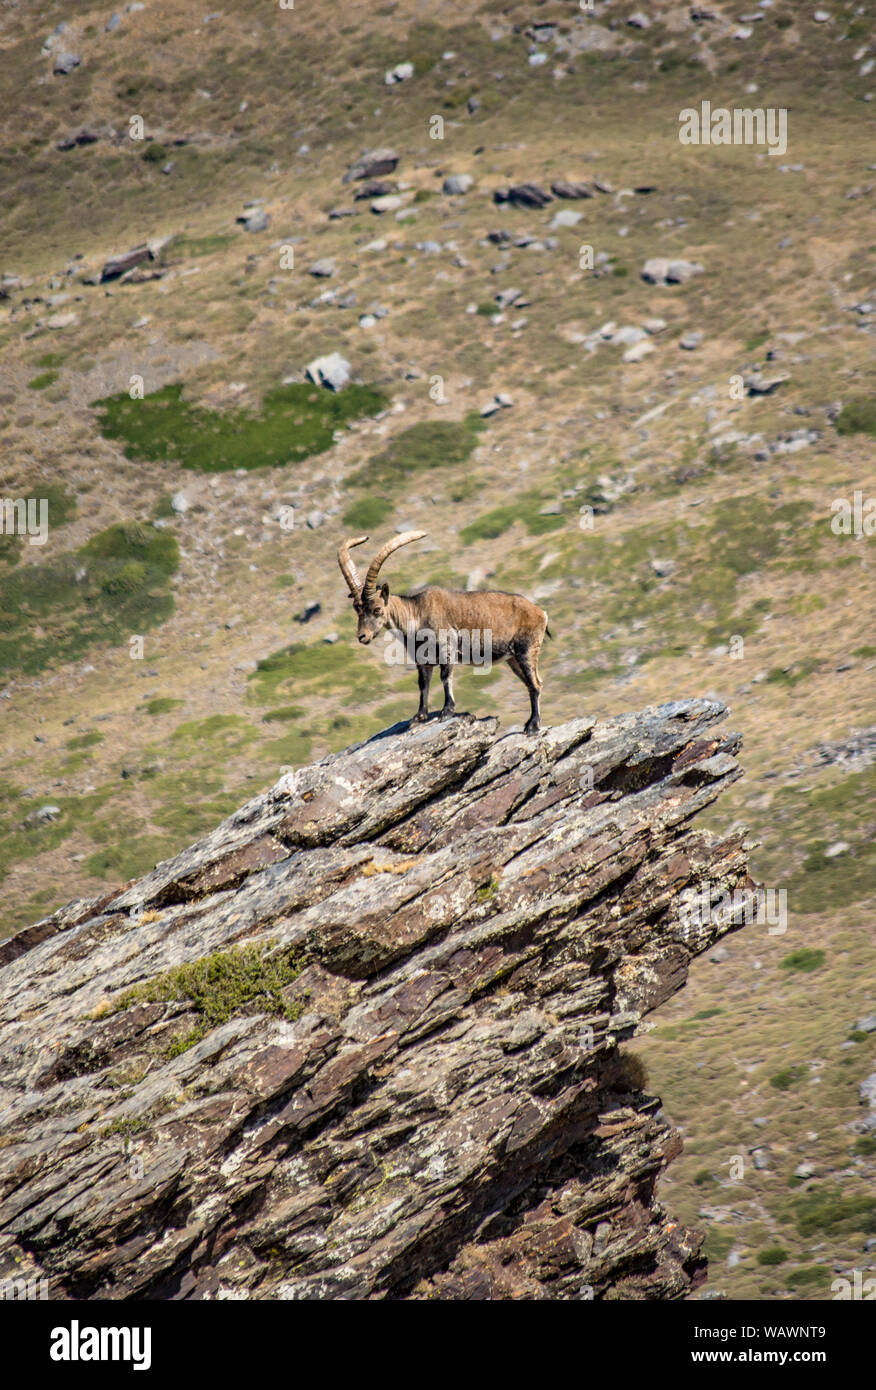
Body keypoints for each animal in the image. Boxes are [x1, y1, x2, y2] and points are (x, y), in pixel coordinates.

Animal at [338, 531, 550, 733]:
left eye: (377, 609)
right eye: (357, 609)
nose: (362, 636)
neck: (417, 613)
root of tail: (541, 612)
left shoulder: (447, 647)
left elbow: (445, 677)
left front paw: (447, 711)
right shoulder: (422, 660)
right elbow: (423, 683)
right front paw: (419, 716)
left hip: (527, 650)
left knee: (536, 684)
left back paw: (533, 726)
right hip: (512, 659)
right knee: (532, 683)